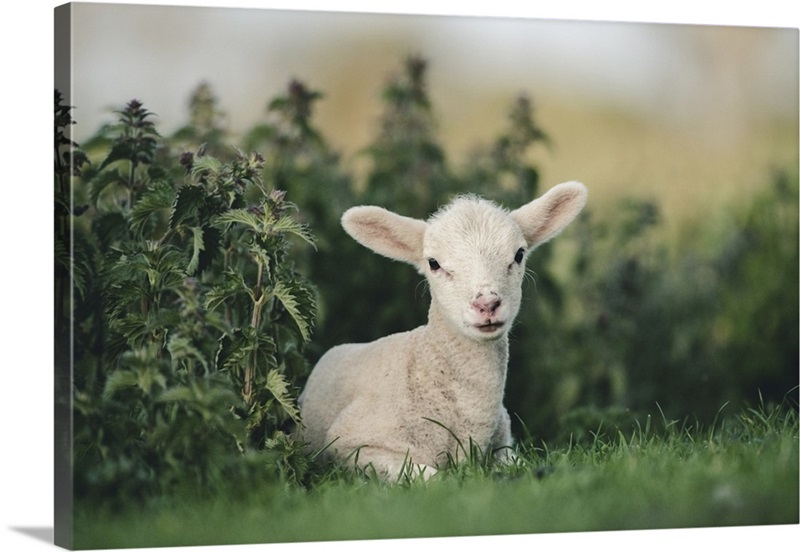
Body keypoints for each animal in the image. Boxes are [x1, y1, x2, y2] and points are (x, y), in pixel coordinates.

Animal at [298, 181, 588, 479]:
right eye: (434, 263)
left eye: (519, 255)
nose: (487, 304)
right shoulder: (351, 445)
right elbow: (434, 478)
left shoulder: (505, 447)